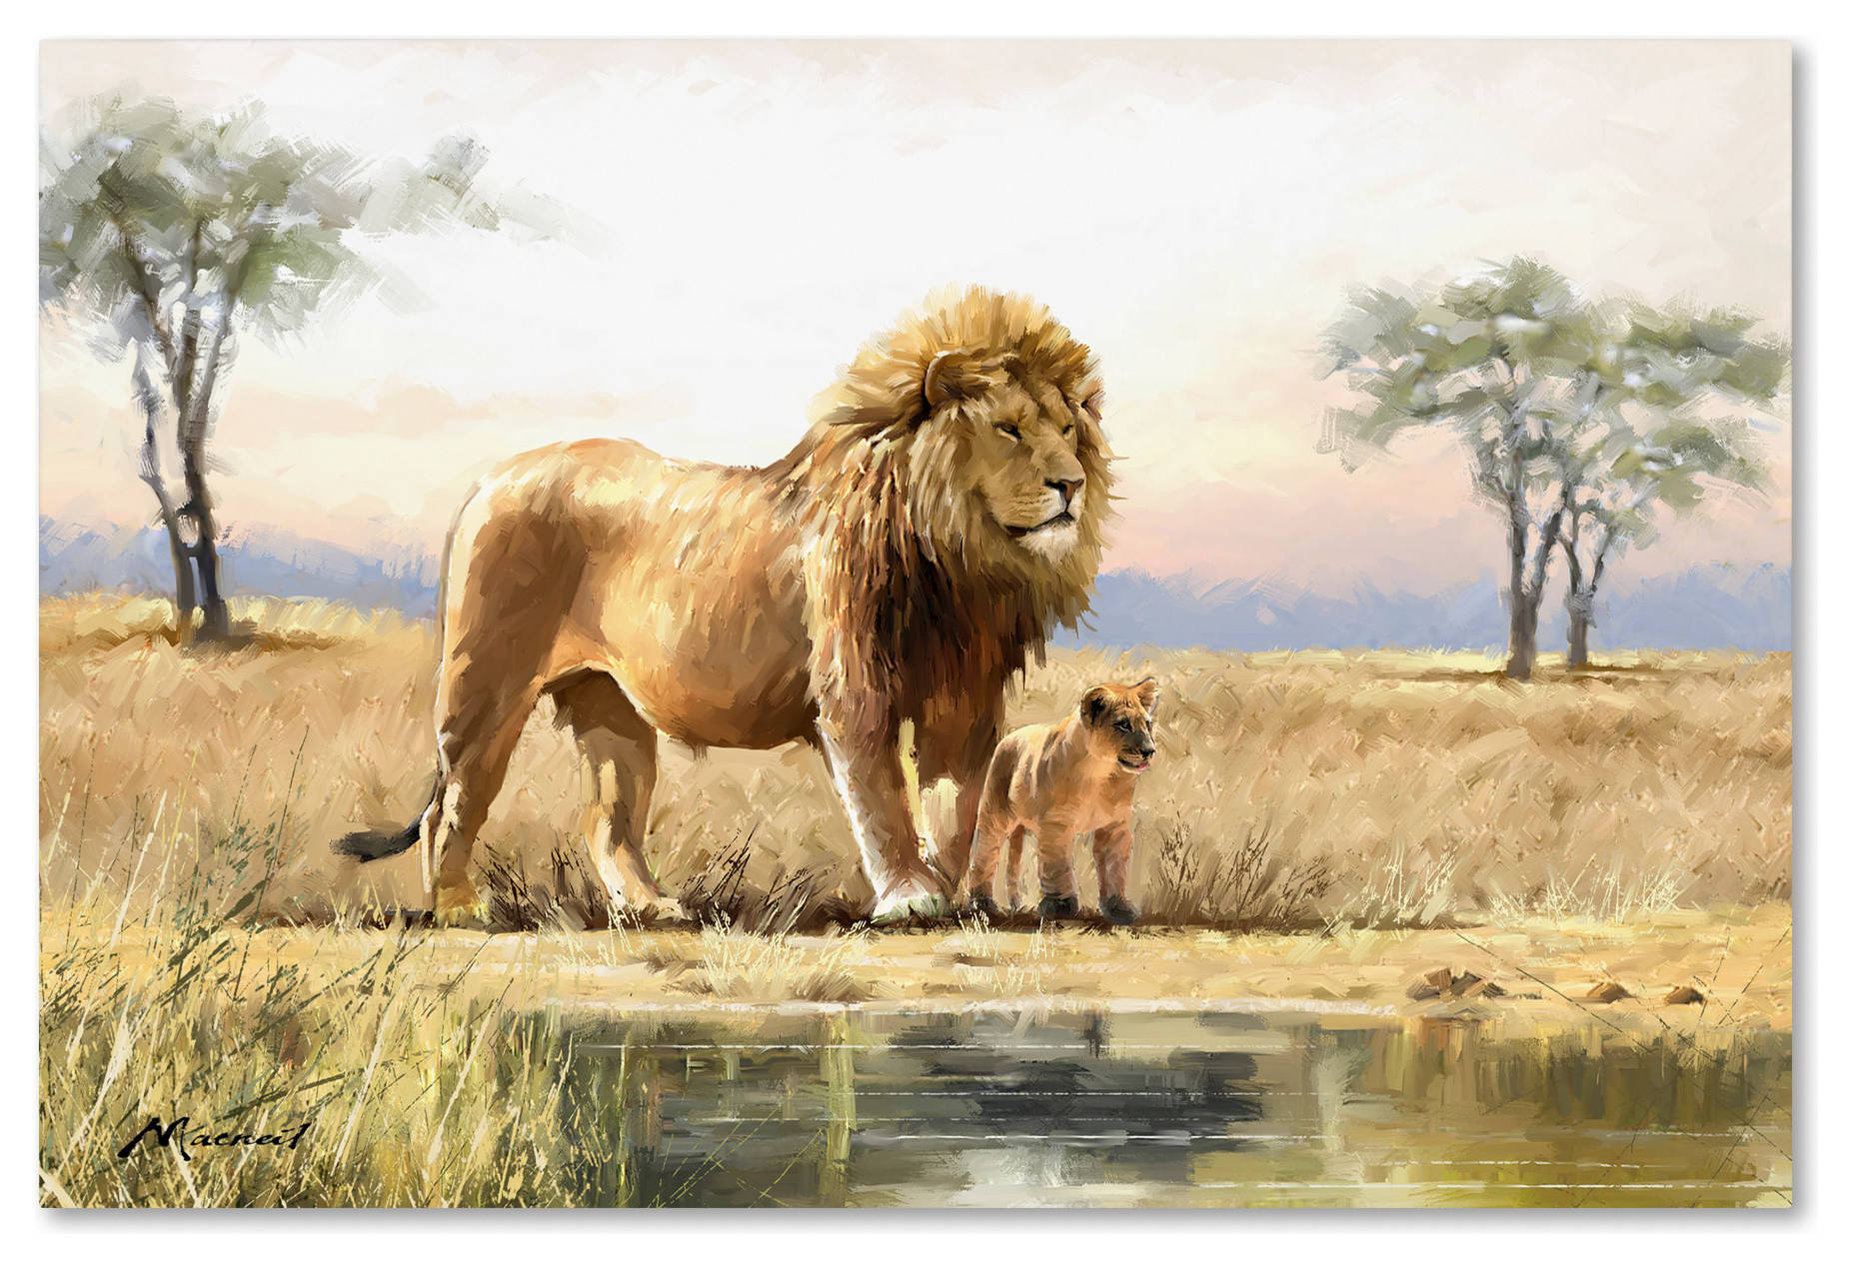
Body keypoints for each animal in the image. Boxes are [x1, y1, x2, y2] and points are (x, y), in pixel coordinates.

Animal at [334, 285, 1113, 926]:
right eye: (1009, 428)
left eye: (1069, 431)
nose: (1070, 484)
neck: (960, 564)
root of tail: (492, 476)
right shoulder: (853, 690)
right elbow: (884, 800)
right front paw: (909, 896)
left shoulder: (964, 695)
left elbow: (957, 804)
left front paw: (955, 892)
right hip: (486, 682)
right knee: (450, 805)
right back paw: (458, 908)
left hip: (609, 708)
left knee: (605, 819)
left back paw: (652, 907)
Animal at [962, 677, 1158, 925]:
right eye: (1123, 725)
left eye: (1147, 724)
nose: (1149, 750)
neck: (1100, 773)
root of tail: (1012, 735)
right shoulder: (1056, 824)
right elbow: (1057, 865)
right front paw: (1060, 906)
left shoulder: (1114, 825)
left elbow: (1115, 868)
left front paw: (1118, 908)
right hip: (994, 812)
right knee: (985, 854)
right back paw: (981, 903)